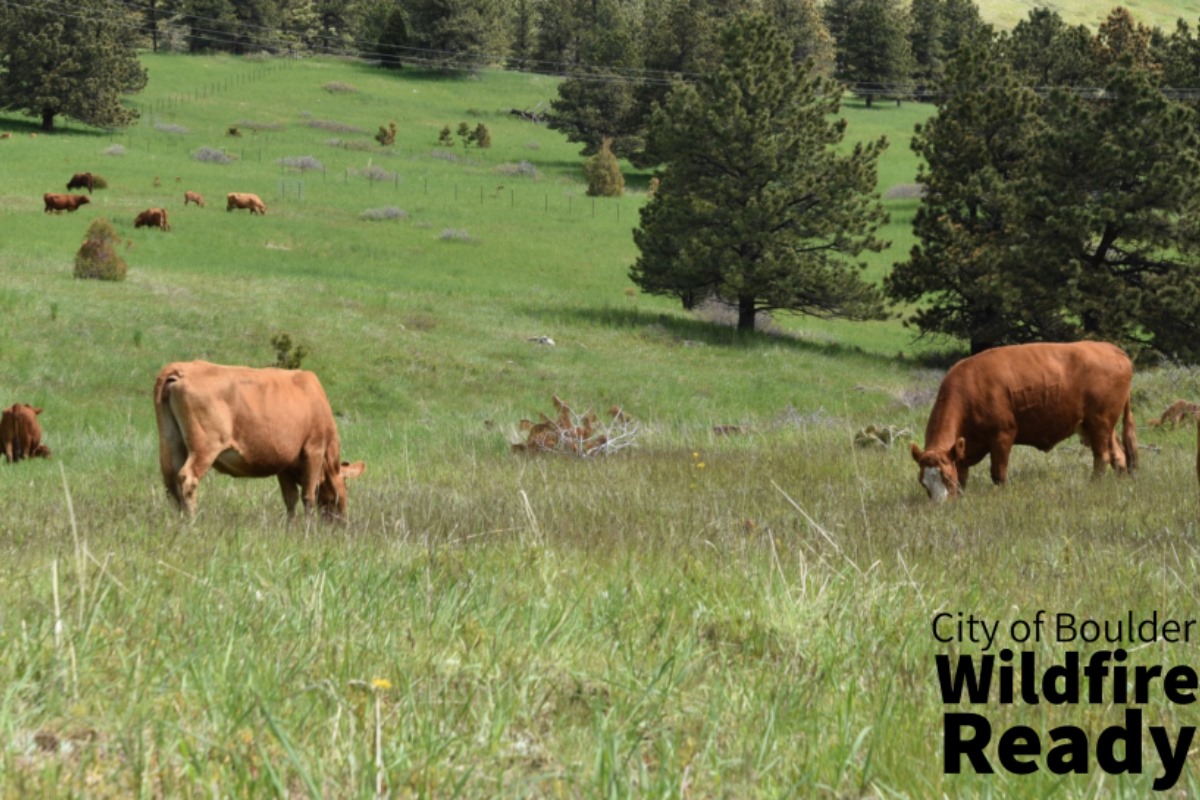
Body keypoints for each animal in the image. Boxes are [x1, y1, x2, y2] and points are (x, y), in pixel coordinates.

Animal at [154, 361, 365, 520]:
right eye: (345, 486)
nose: (342, 521)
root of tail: (181, 369)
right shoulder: (314, 450)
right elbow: (308, 496)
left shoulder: (285, 461)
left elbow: (290, 499)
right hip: (205, 446)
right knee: (187, 479)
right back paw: (192, 521)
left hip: (170, 441)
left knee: (171, 481)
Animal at [910, 341, 1137, 502]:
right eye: (923, 482)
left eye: (946, 478)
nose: (940, 506)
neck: (969, 389)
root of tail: (1113, 349)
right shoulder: (962, 451)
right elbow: (963, 477)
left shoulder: (1002, 437)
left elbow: (998, 474)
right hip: (1098, 427)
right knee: (1118, 455)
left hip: (1099, 423)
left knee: (1102, 457)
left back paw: (1094, 485)